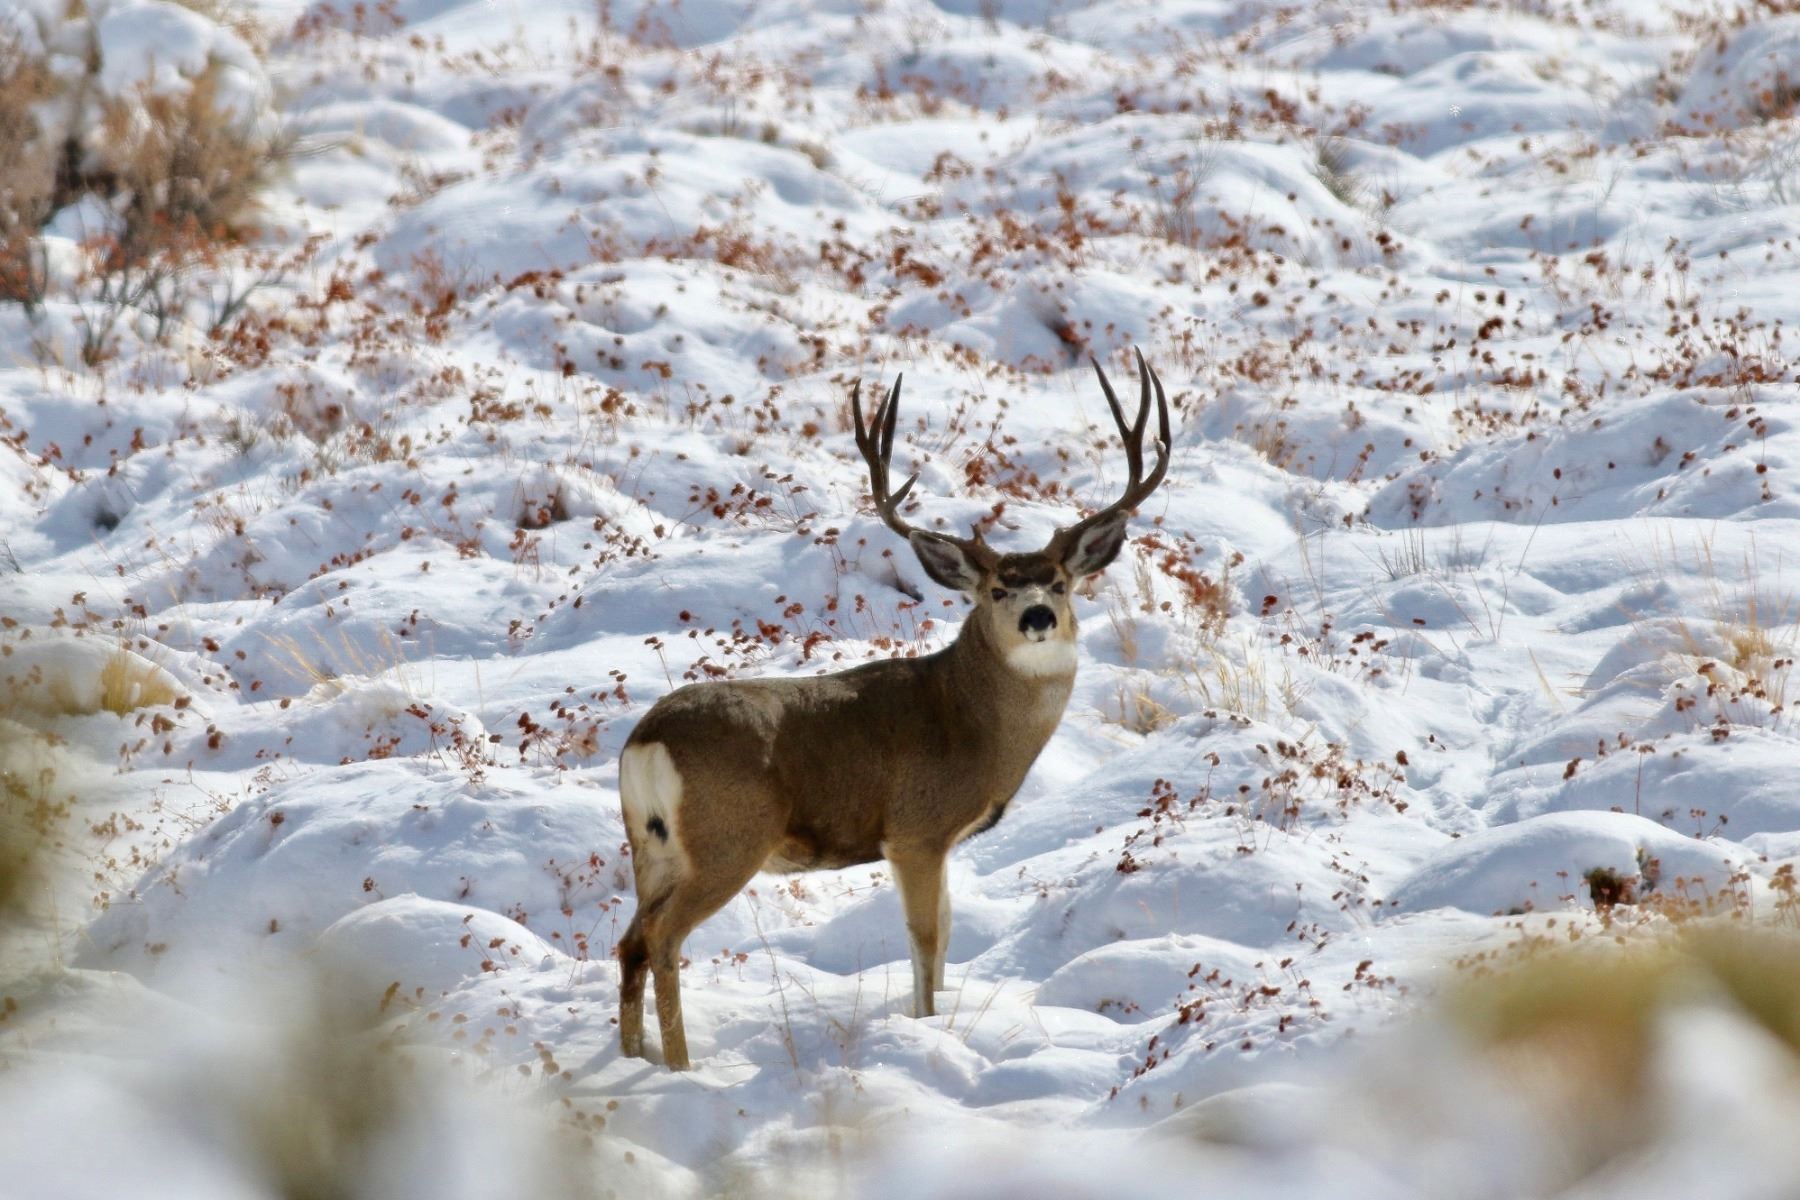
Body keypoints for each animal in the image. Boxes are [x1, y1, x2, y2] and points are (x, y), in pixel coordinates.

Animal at [616, 349, 1172, 1069]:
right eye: (997, 590)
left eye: (1059, 582)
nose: (1039, 617)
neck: (970, 720)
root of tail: (646, 740)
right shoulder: (916, 830)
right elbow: (926, 940)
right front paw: (926, 1027)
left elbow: (947, 934)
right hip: (726, 839)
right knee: (662, 938)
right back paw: (683, 1067)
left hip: (650, 846)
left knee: (630, 942)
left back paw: (632, 1057)